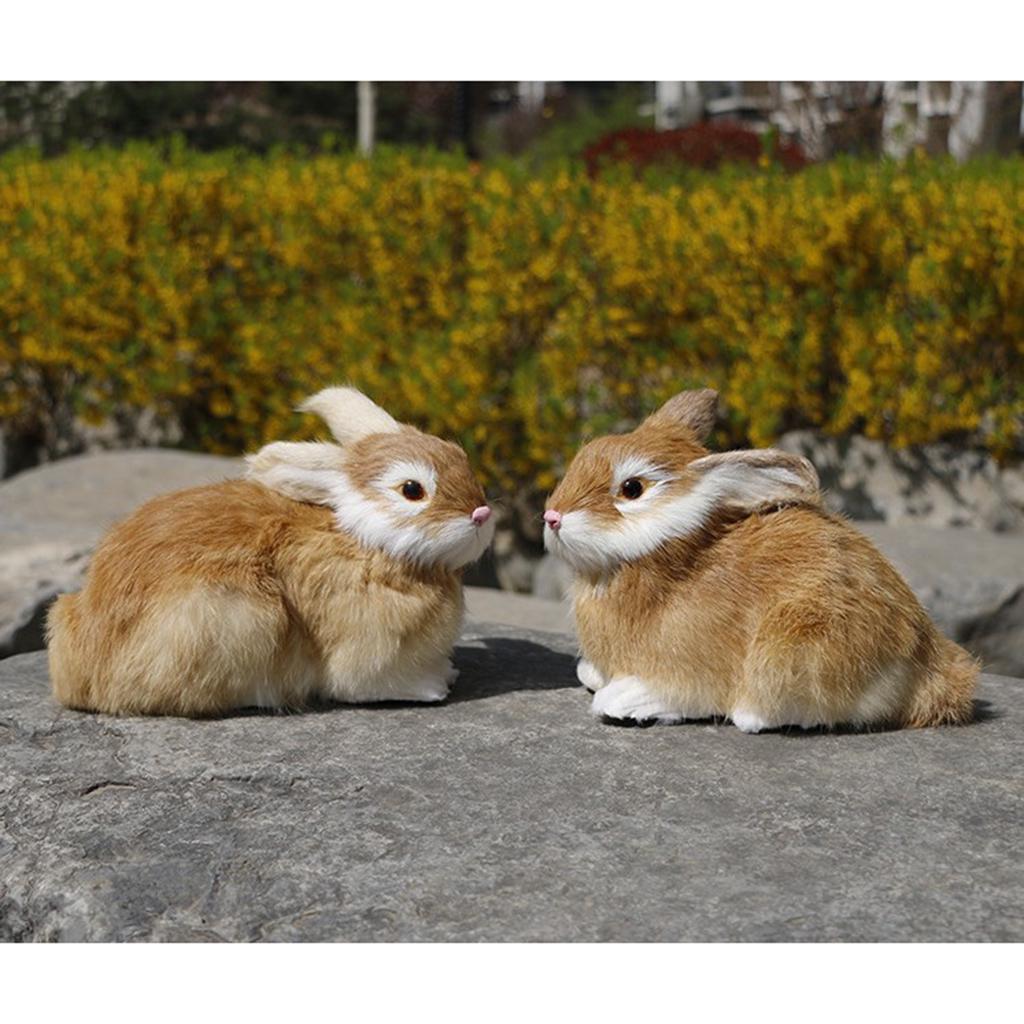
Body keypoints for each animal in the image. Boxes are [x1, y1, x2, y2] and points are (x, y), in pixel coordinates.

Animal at [47, 387, 496, 717]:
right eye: (412, 490)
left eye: (458, 454)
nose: (481, 513)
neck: (368, 540)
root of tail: (86, 679)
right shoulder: (370, 651)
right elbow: (367, 685)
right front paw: (434, 688)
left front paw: (448, 671)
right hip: (235, 615)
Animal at [543, 388, 978, 732]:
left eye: (632, 488)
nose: (552, 517)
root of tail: (934, 669)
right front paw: (591, 673)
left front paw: (623, 699)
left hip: (799, 645)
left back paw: (748, 716)